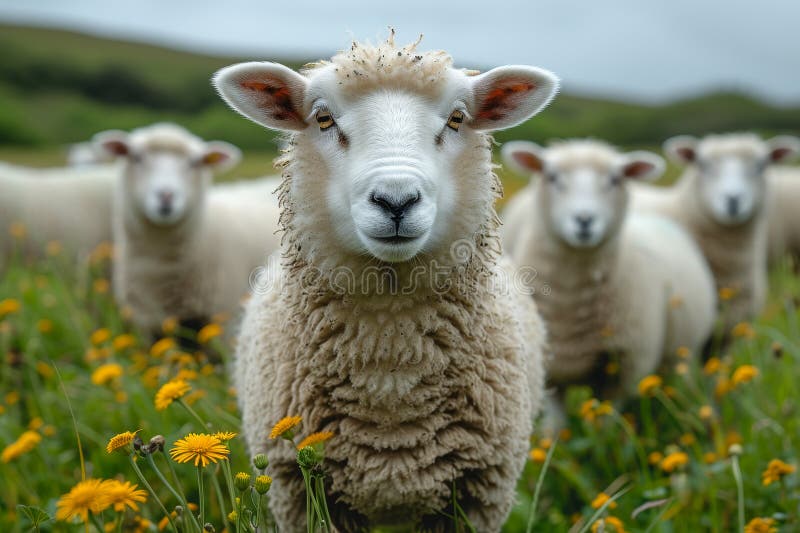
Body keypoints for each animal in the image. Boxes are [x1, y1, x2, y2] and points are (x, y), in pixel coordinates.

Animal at [501, 139, 716, 401]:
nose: (584, 220)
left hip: (679, 356)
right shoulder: (550, 369)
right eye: (552, 176)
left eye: (615, 179)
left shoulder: (622, 369)